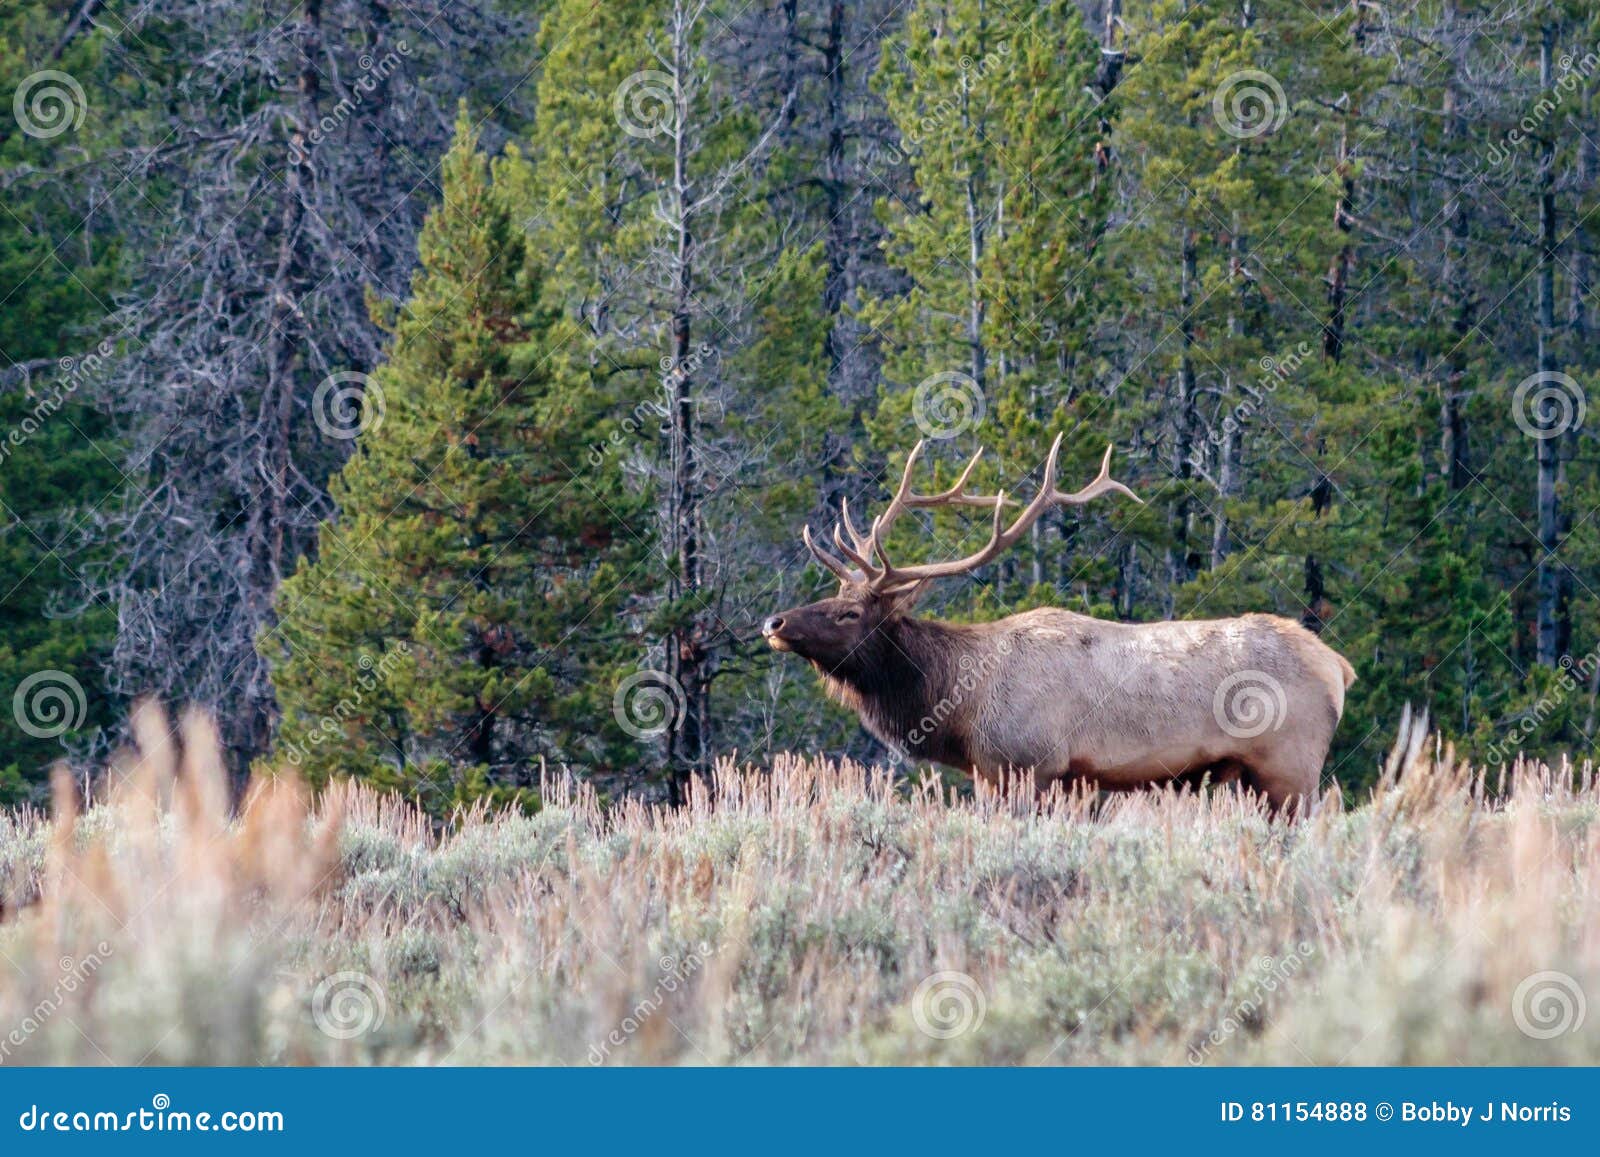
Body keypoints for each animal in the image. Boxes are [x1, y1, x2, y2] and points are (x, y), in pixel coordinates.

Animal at [761, 436, 1356, 815]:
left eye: (850, 612)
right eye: (836, 595)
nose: (774, 620)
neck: (960, 702)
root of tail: (1338, 666)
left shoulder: (1028, 762)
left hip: (1291, 763)